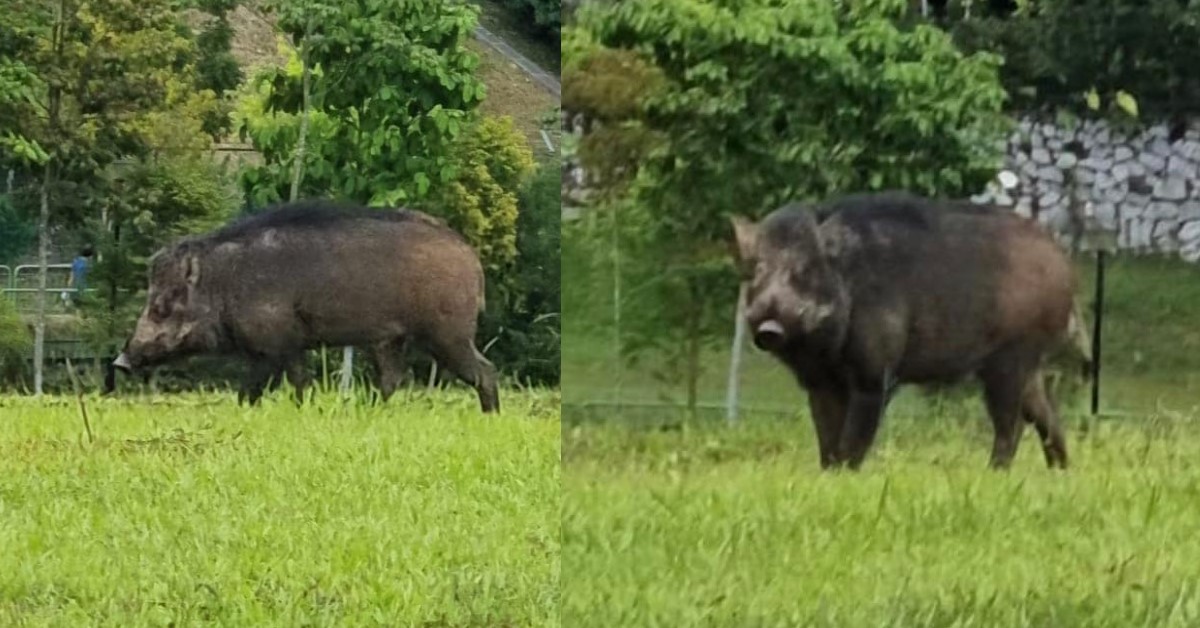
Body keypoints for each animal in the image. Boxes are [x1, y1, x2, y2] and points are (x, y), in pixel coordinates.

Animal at [113, 200, 499, 413]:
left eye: (162, 306)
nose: (120, 362)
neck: (225, 283)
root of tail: (471, 259)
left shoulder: (272, 347)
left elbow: (255, 389)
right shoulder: (290, 348)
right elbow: (299, 383)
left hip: (447, 334)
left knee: (484, 370)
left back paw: (490, 415)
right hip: (391, 340)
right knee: (391, 379)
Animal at [731, 191, 1075, 470]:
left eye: (804, 271)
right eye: (758, 270)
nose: (769, 327)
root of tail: (1063, 264)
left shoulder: (876, 375)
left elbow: (853, 439)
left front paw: (844, 474)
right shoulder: (819, 382)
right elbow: (826, 438)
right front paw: (827, 474)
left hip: (1012, 356)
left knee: (1012, 423)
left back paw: (994, 472)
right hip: (1027, 363)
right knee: (1044, 410)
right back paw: (1059, 471)